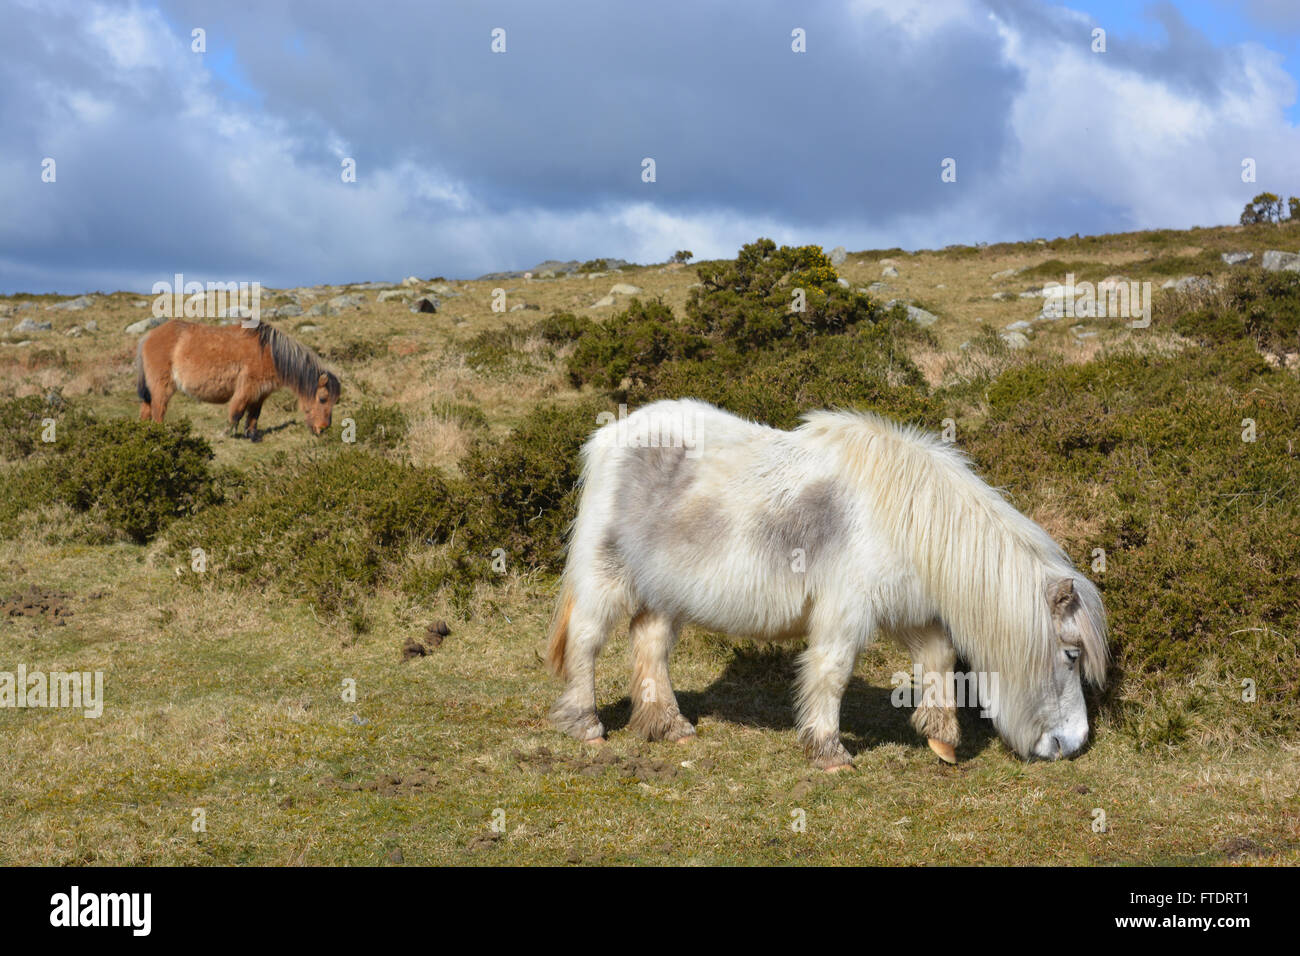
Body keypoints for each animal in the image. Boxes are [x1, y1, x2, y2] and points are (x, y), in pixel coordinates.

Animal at [136, 319, 340, 439]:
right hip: (162, 386)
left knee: (146, 410)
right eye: (323, 399)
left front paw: (251, 435)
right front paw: (225, 434)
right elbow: (236, 412)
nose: (323, 429)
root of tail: (149, 336)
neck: (269, 353)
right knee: (158, 410)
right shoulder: (246, 389)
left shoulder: (261, 393)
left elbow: (254, 415)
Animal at [546, 399, 1108, 770]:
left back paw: (670, 727)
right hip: (606, 576)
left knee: (650, 646)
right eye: (1071, 654)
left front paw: (942, 739)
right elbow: (832, 673)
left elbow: (940, 659)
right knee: (586, 642)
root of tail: (609, 436)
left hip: (666, 591)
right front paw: (829, 750)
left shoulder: (908, 611)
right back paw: (586, 726)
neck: (906, 516)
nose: (1074, 743)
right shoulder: (847, 610)